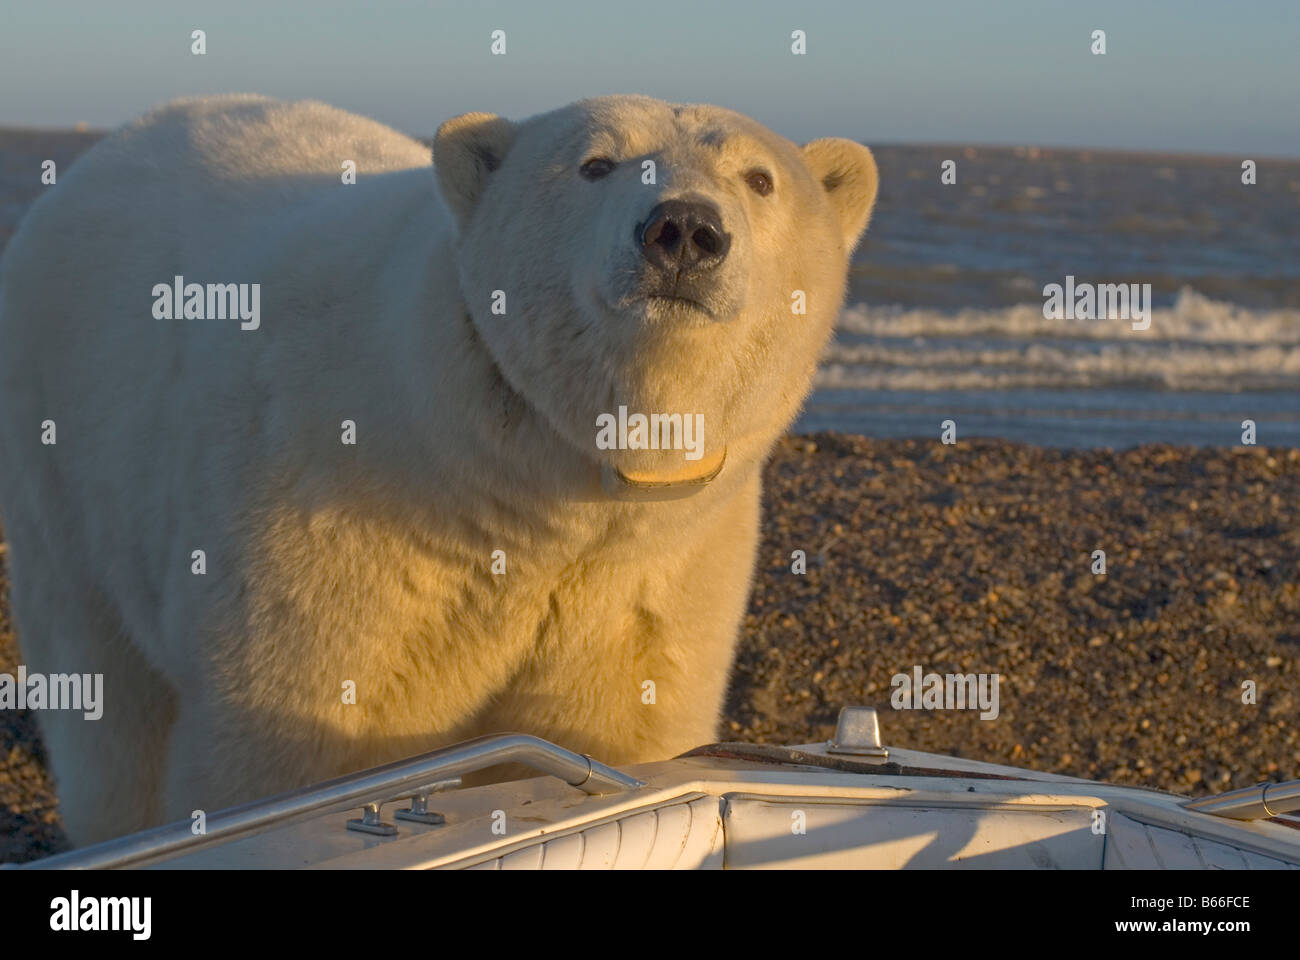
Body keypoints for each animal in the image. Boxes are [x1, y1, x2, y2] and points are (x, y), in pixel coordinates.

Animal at [0, 94, 878, 847]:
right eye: (596, 163)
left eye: (759, 178)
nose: (685, 229)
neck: (526, 490)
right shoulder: (337, 524)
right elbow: (293, 737)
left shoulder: (653, 568)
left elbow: (614, 723)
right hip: (61, 457)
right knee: (107, 705)